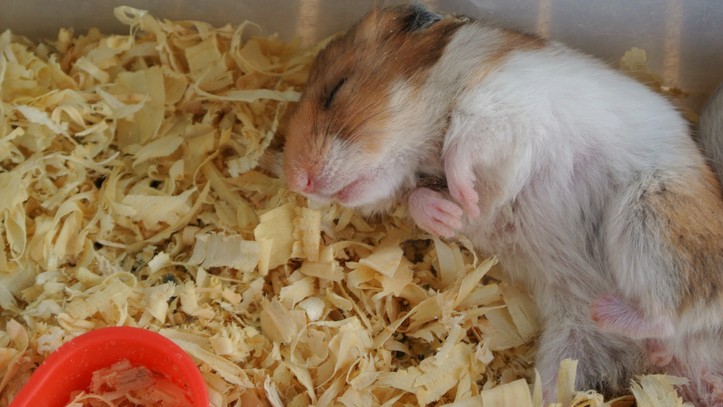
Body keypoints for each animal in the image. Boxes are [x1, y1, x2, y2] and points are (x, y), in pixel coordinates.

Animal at [283, 4, 723, 404]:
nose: (296, 180)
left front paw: (466, 195)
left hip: (652, 217)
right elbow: (421, 197)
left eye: (336, 90)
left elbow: (461, 145)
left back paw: (612, 311)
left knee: (675, 312)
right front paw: (450, 216)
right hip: (574, 345)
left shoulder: (503, 106)